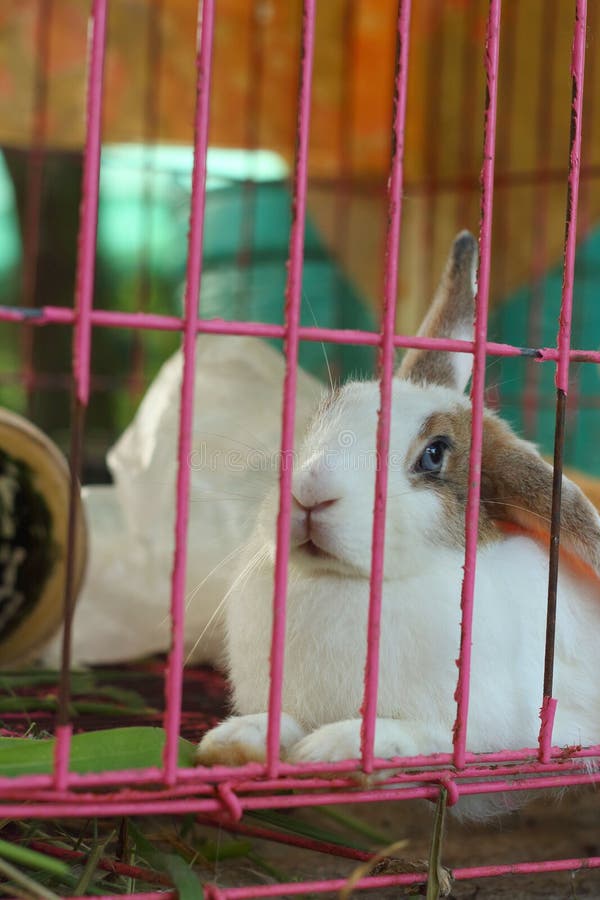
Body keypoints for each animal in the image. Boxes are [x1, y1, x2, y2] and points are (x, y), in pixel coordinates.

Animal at [196, 231, 600, 819]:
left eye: (433, 455)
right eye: (322, 418)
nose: (310, 493)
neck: (352, 586)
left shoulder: (493, 733)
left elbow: (420, 738)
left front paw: (334, 749)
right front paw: (234, 741)